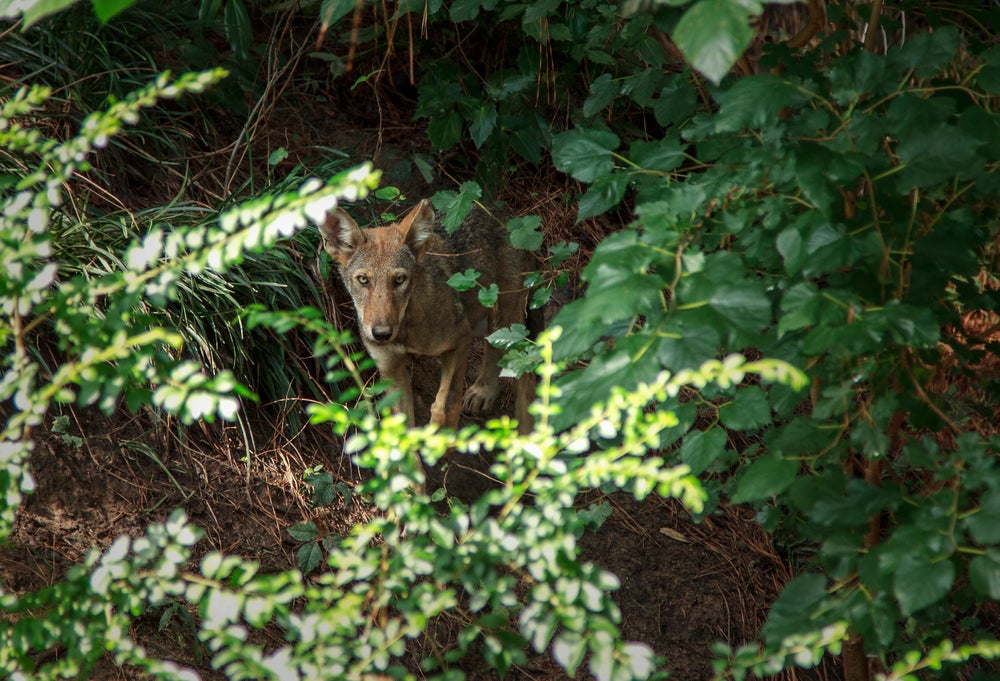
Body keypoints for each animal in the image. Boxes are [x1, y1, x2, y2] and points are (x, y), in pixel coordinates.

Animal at [319, 199, 538, 432]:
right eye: (363, 279)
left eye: (399, 279)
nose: (381, 334)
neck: (406, 329)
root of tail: (503, 214)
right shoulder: (391, 369)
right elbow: (402, 427)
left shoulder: (460, 339)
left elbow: (445, 404)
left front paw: (441, 433)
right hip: (487, 324)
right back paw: (484, 391)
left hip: (507, 322)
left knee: (527, 377)